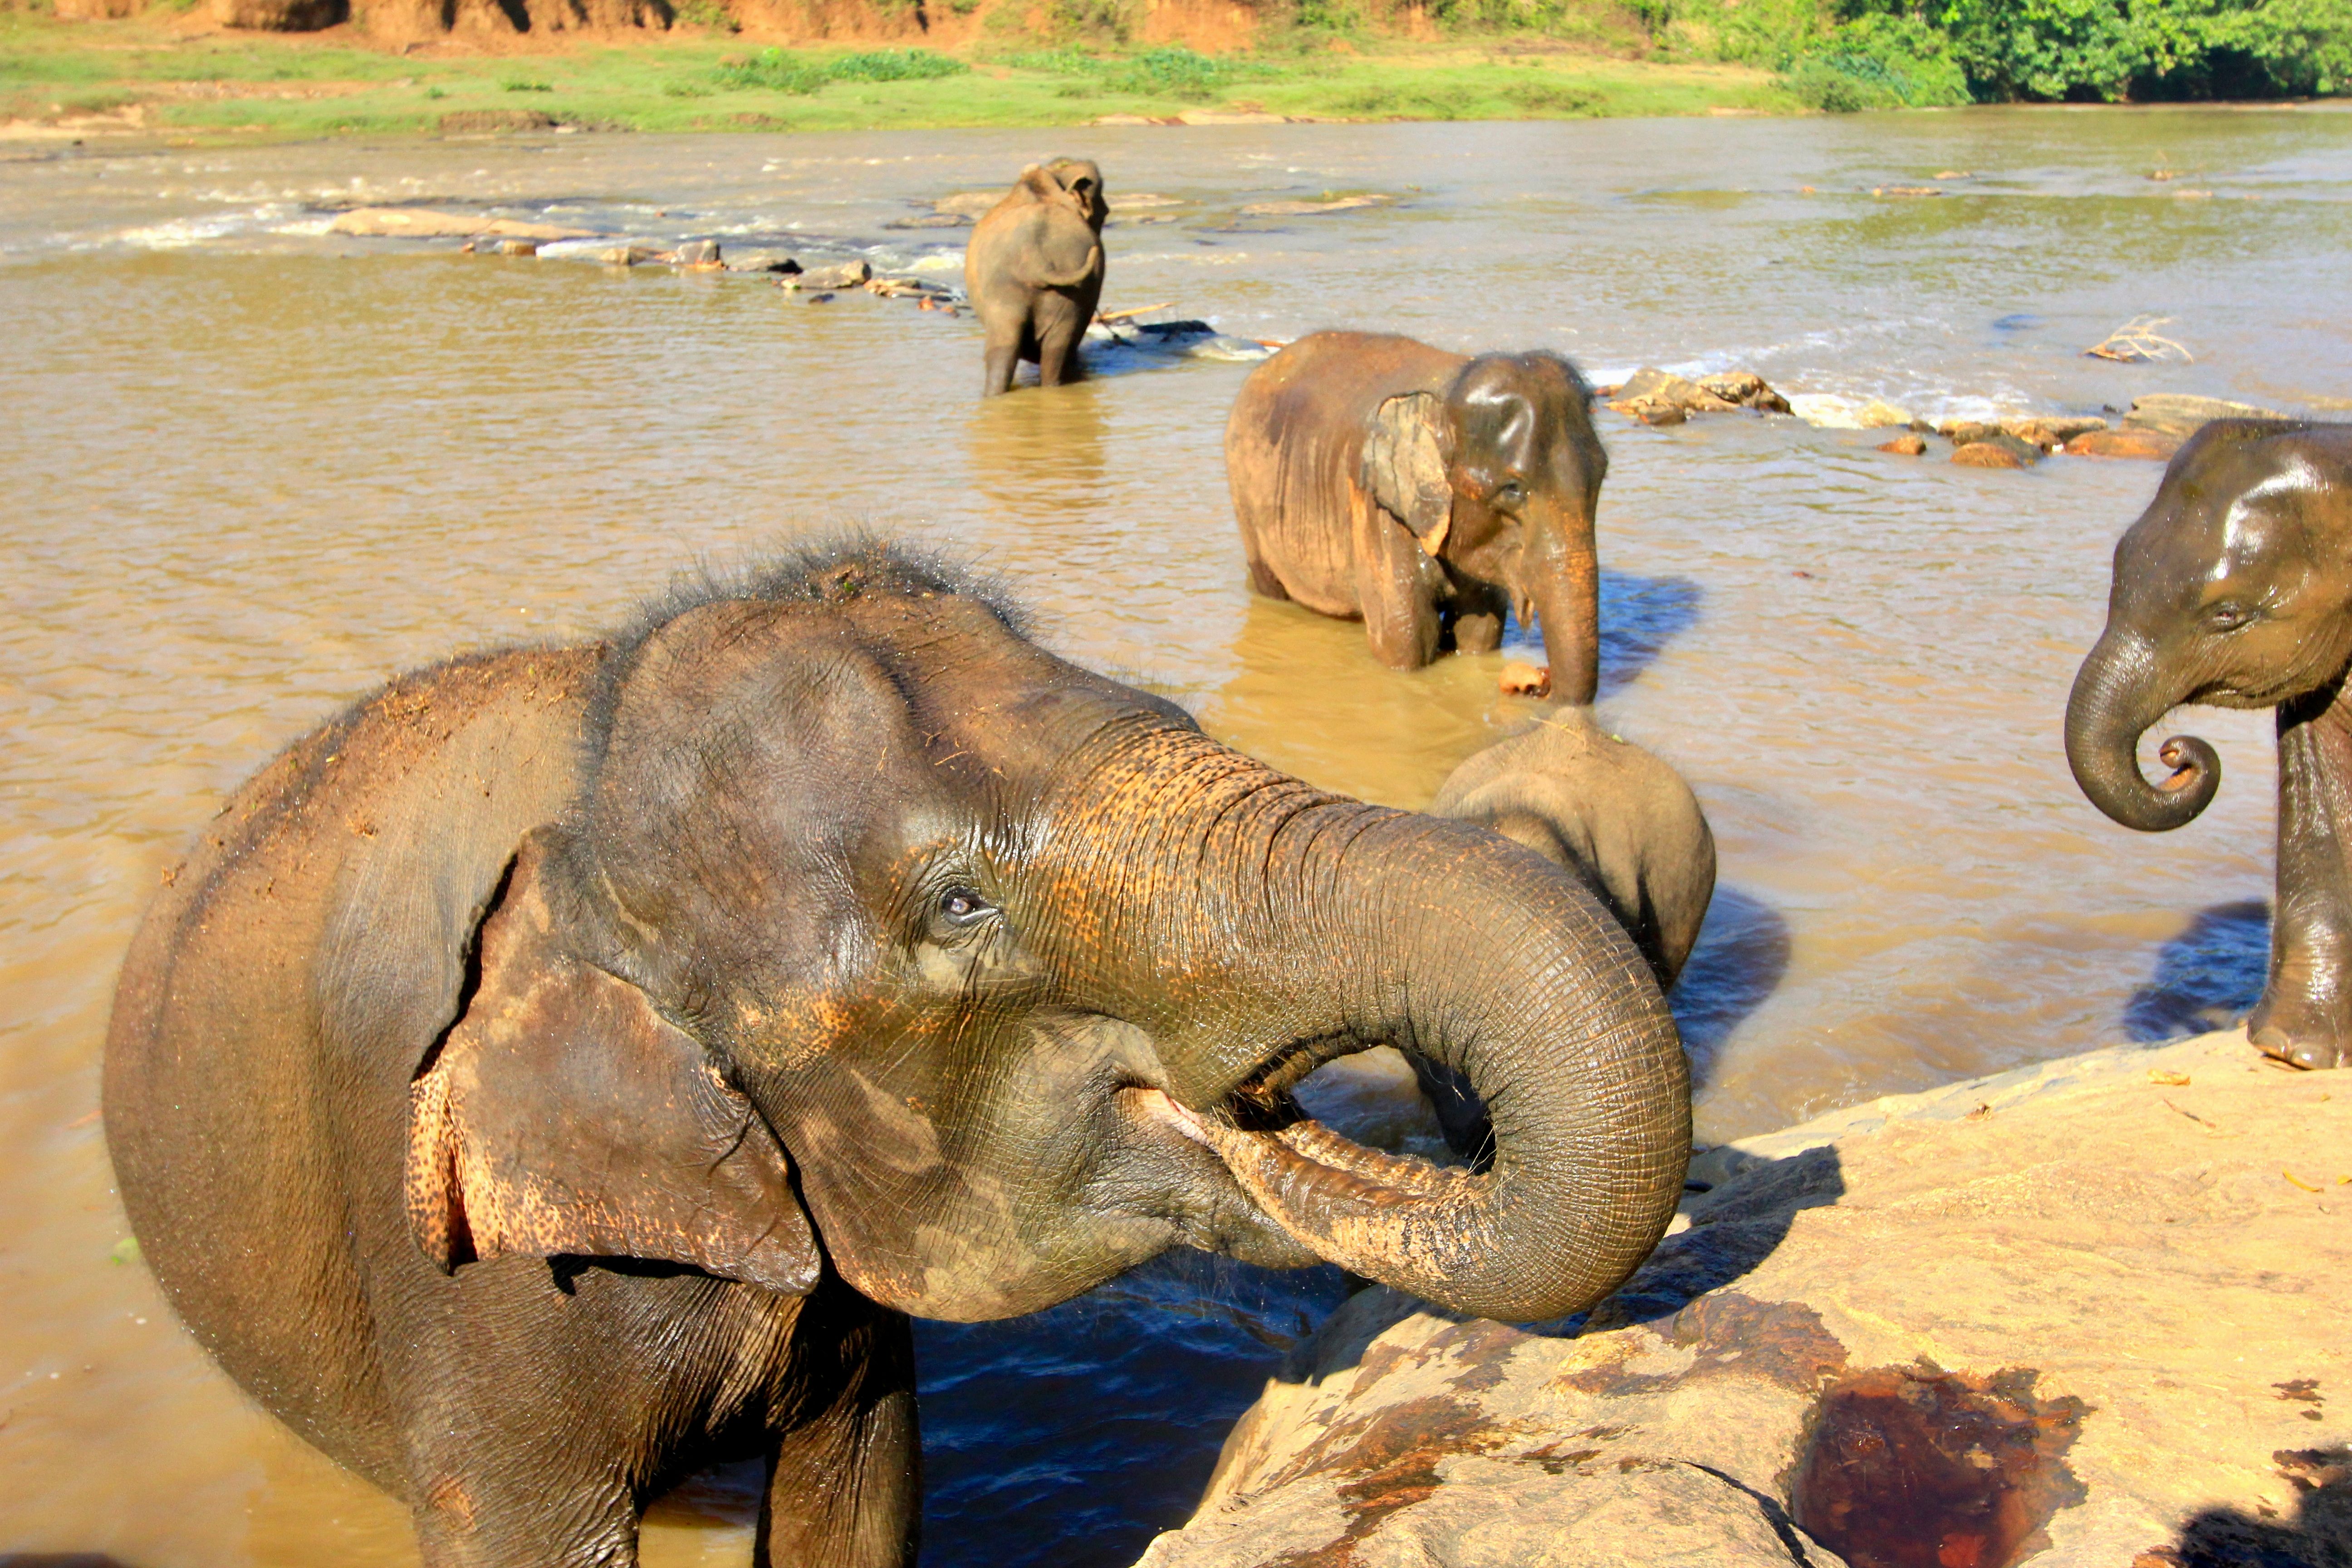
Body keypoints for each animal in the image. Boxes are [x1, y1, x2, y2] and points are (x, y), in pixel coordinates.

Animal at [1225, 331, 1610, 702]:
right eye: (1513, 489)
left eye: (1602, 474)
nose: (1538, 685)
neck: (1449, 387)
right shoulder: (1381, 514)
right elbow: (1407, 641)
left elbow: (1479, 633)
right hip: (1244, 495)